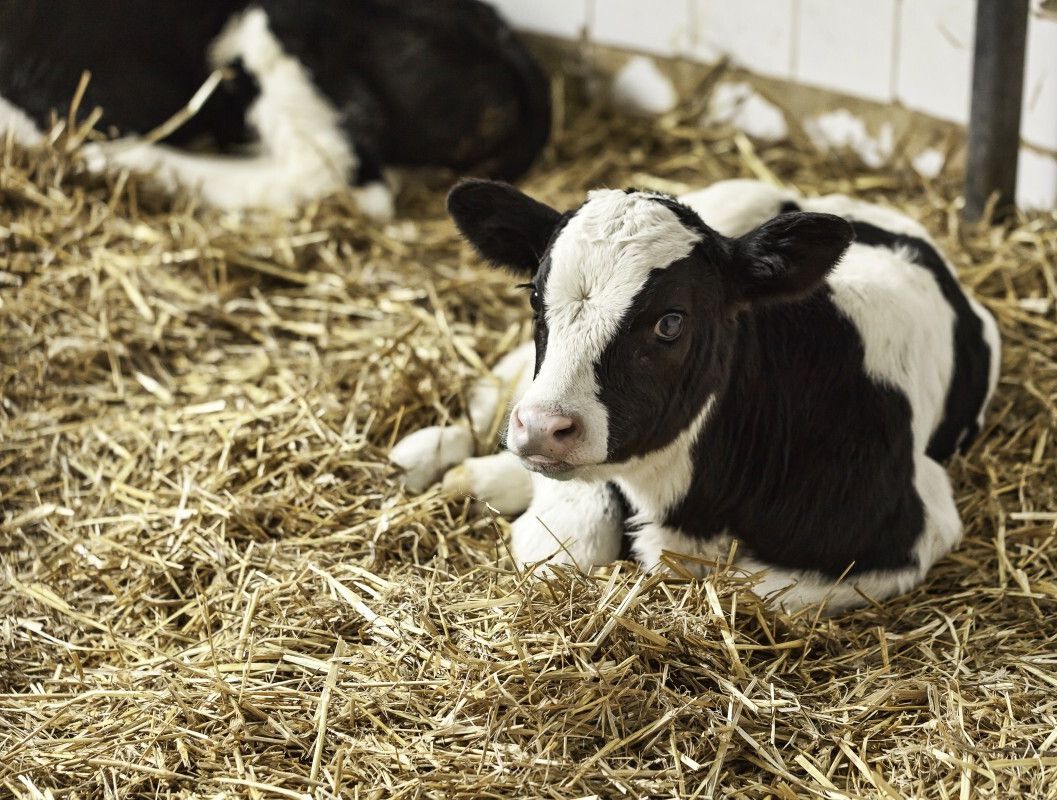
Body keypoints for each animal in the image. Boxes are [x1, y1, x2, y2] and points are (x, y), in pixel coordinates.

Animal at [391, 179, 1001, 611]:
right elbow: (567, 542)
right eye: (535, 297)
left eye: (671, 322)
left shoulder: (919, 524)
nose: (542, 427)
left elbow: (749, 591)